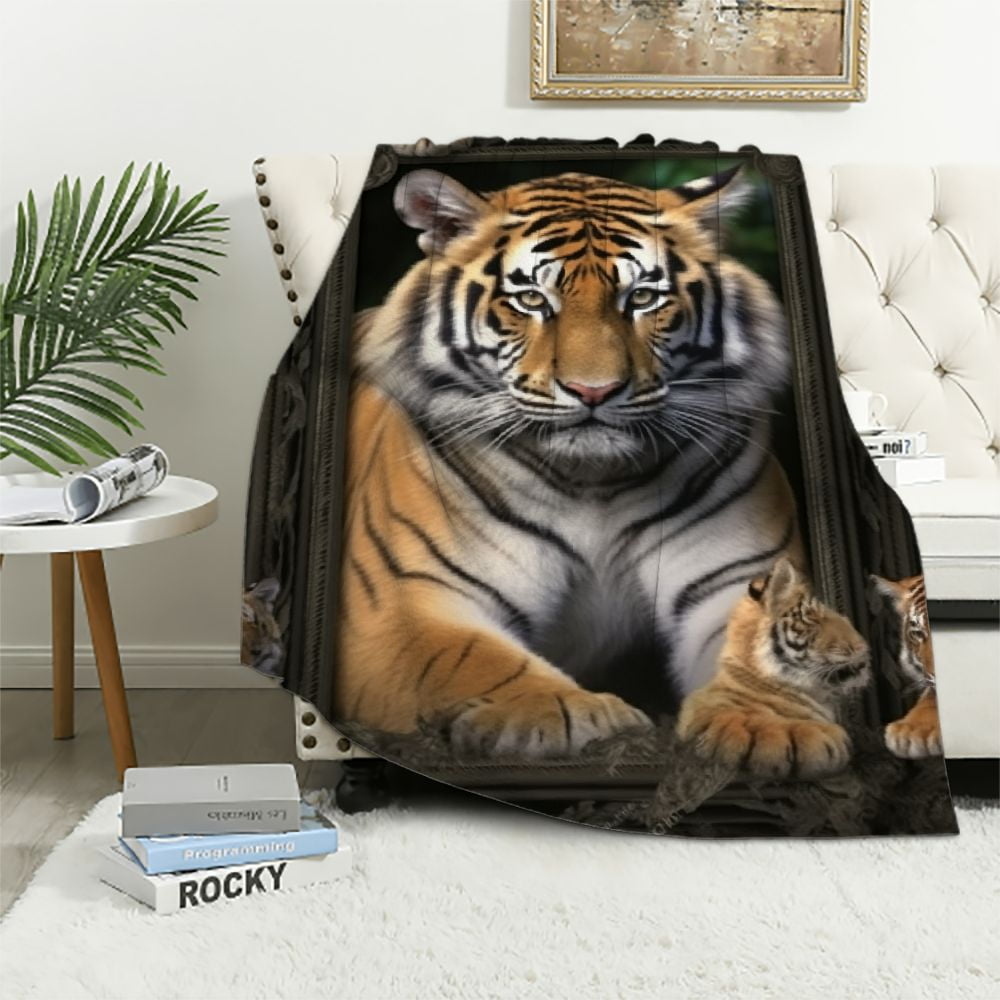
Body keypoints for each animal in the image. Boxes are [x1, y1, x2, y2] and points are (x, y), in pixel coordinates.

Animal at [337, 164, 806, 758]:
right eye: (532, 300)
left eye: (643, 297)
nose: (594, 391)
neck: (592, 483)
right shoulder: (400, 602)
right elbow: (471, 658)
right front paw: (573, 714)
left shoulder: (738, 579)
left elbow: (766, 657)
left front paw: (772, 726)